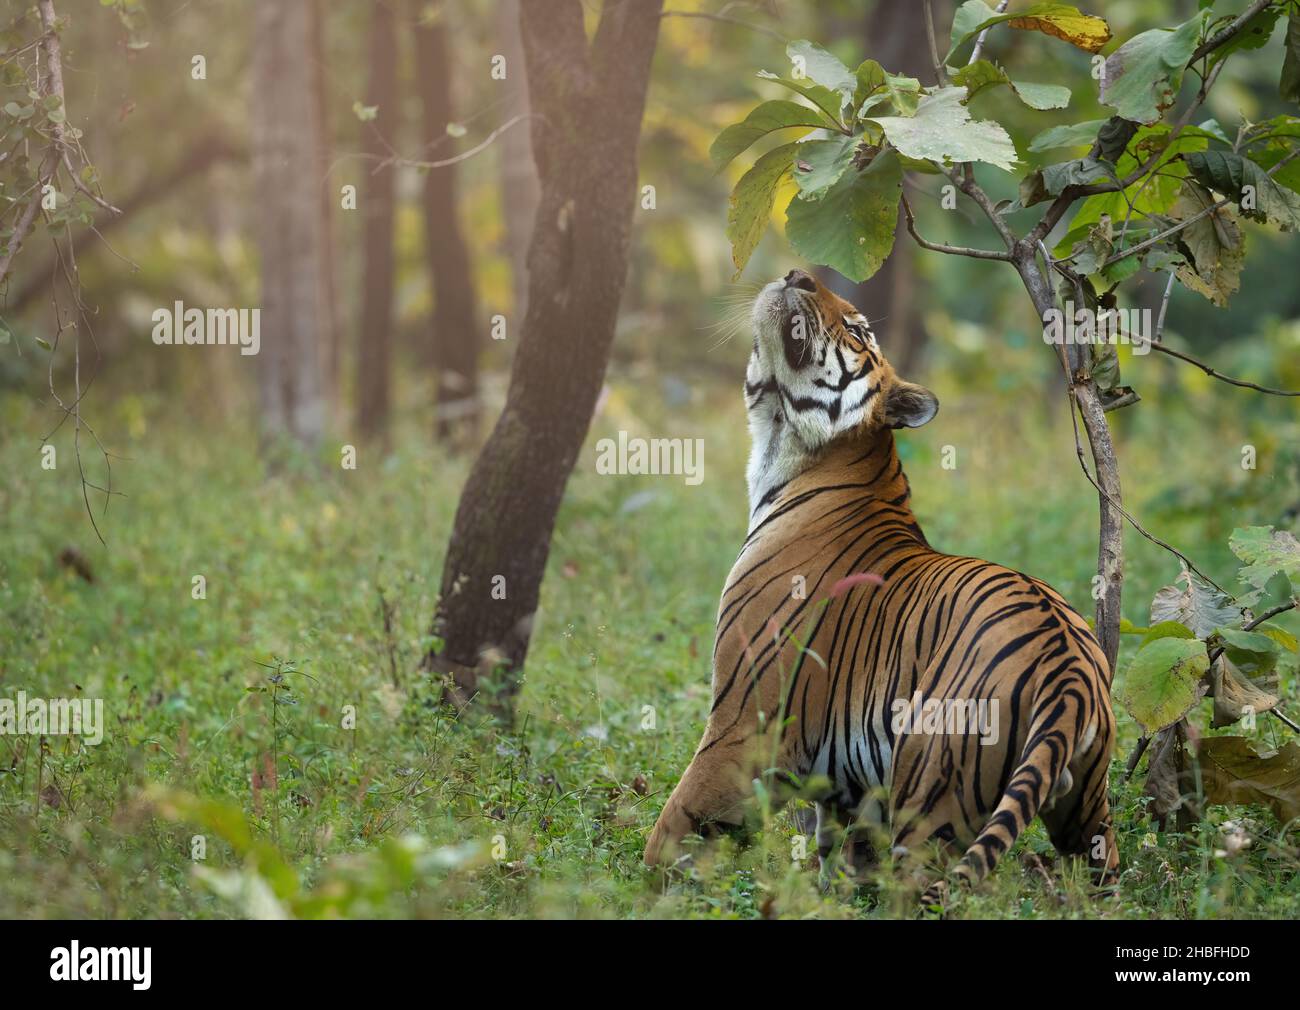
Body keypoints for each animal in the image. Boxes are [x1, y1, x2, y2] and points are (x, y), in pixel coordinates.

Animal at [643, 269, 1119, 906]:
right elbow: (838, 854)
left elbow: (678, 824)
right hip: (1084, 814)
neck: (785, 445)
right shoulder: (846, 778)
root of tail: (1070, 672)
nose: (799, 273)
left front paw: (637, 888)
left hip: (930, 799)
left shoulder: (745, 720)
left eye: (858, 327)